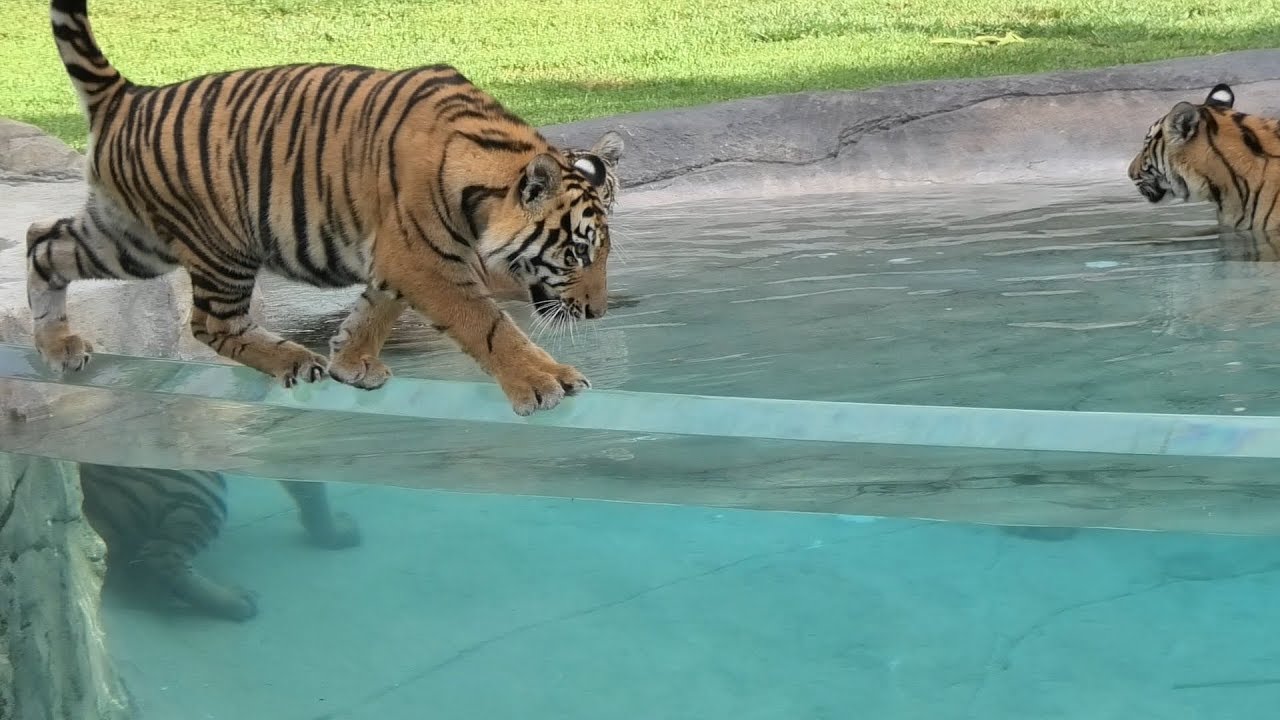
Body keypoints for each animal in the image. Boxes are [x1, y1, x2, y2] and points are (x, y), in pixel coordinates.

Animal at [28, 0, 624, 417]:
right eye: (576, 254)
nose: (598, 313)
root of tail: (128, 95)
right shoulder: (424, 261)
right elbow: (488, 324)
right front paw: (543, 382)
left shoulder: (399, 258)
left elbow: (374, 309)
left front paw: (351, 362)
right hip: (219, 244)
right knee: (209, 323)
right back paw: (293, 359)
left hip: (130, 240)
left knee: (41, 239)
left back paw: (57, 347)